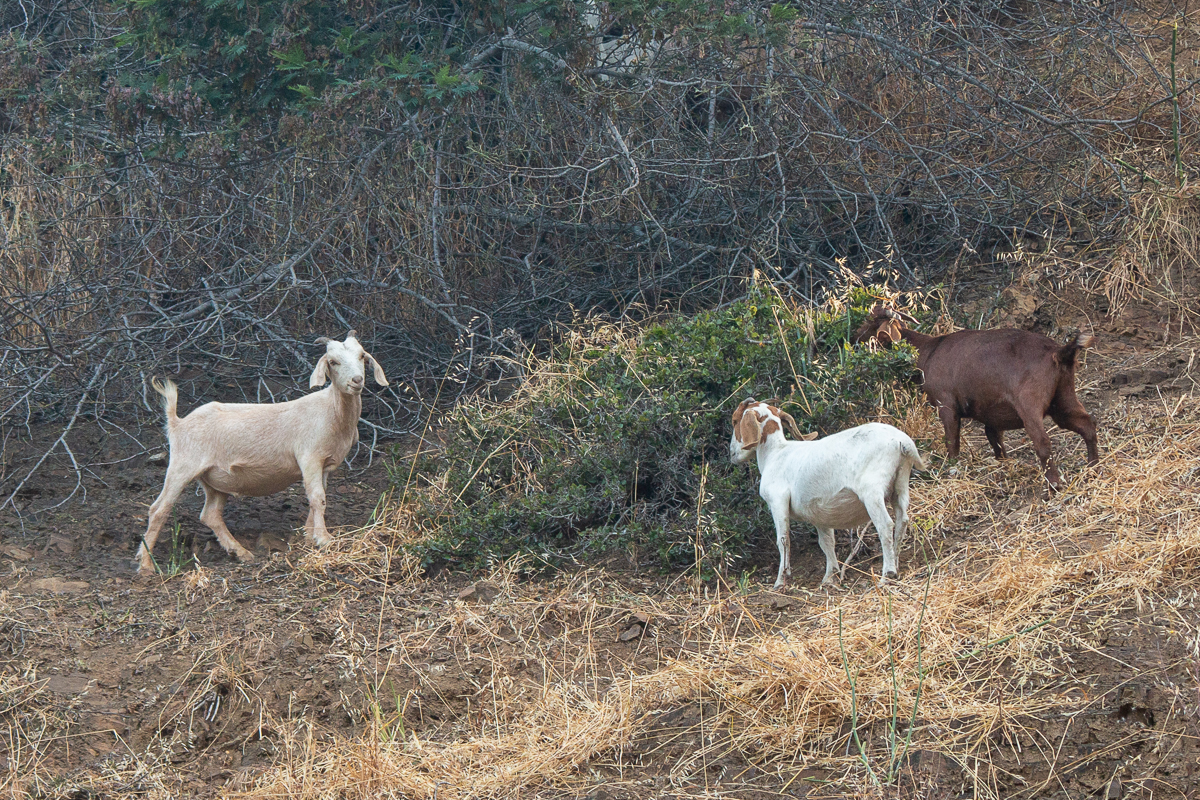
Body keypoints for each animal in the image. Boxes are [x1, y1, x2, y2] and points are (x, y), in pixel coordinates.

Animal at [136, 331, 388, 575]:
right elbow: (318, 497)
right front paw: (324, 539)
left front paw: (309, 536)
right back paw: (146, 565)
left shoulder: (324, 464)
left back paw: (240, 552)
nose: (357, 381)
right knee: (158, 509)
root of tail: (176, 423)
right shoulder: (310, 457)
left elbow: (317, 497)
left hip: (213, 479)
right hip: (183, 464)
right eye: (333, 362)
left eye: (362, 357)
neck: (332, 411)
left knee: (210, 514)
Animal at [730, 399, 925, 589]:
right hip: (900, 485)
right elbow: (827, 542)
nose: (732, 453)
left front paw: (780, 581)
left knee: (885, 525)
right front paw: (830, 577)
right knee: (902, 521)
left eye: (735, 421)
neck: (775, 454)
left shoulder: (778, 501)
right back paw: (896, 565)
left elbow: (783, 540)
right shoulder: (818, 513)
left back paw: (887, 574)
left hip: (872, 491)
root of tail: (903, 442)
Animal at [853, 305, 1098, 490]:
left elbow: (953, 442)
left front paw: (951, 470)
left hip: (1029, 404)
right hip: (1063, 397)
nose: (854, 338)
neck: (927, 352)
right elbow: (995, 440)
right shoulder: (990, 414)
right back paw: (1093, 466)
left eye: (870, 321)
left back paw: (1054, 484)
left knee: (1043, 441)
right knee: (1086, 424)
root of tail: (1058, 353)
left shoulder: (946, 404)